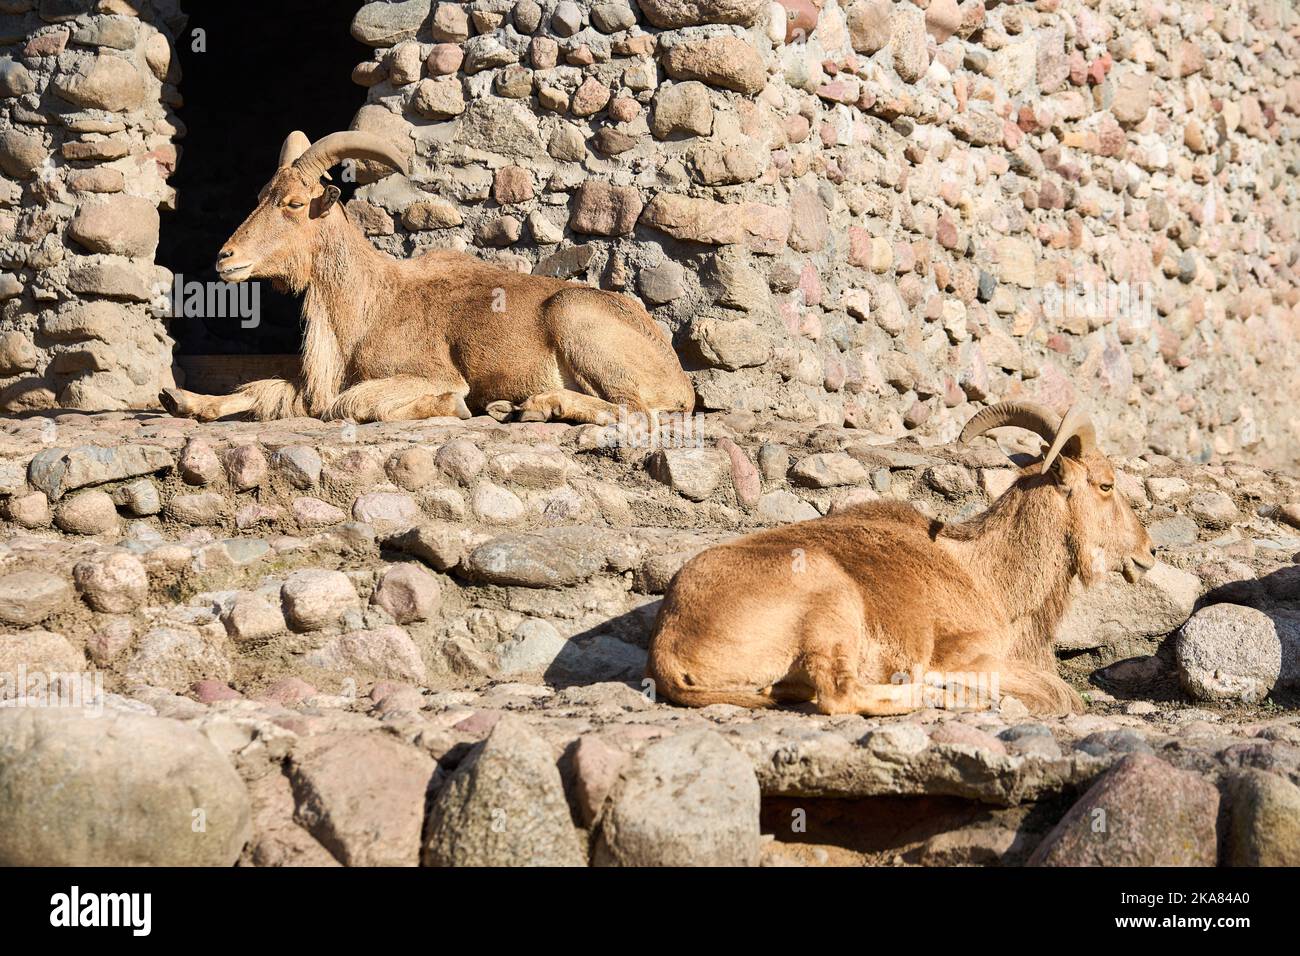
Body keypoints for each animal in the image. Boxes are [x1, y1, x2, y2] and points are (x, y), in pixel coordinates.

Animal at [159, 130, 695, 426]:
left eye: (293, 203)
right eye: (261, 196)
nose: (225, 258)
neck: (370, 301)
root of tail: (681, 382)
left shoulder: (428, 373)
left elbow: (352, 405)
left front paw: (453, 407)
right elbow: (262, 391)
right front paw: (181, 399)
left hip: (576, 322)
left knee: (635, 409)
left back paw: (539, 405)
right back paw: (511, 408)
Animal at [646, 402, 1156, 716]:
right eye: (1106, 485)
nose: (1148, 551)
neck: (987, 574)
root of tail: (667, 644)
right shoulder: (969, 654)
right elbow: (1061, 695)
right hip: (831, 600)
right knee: (840, 694)